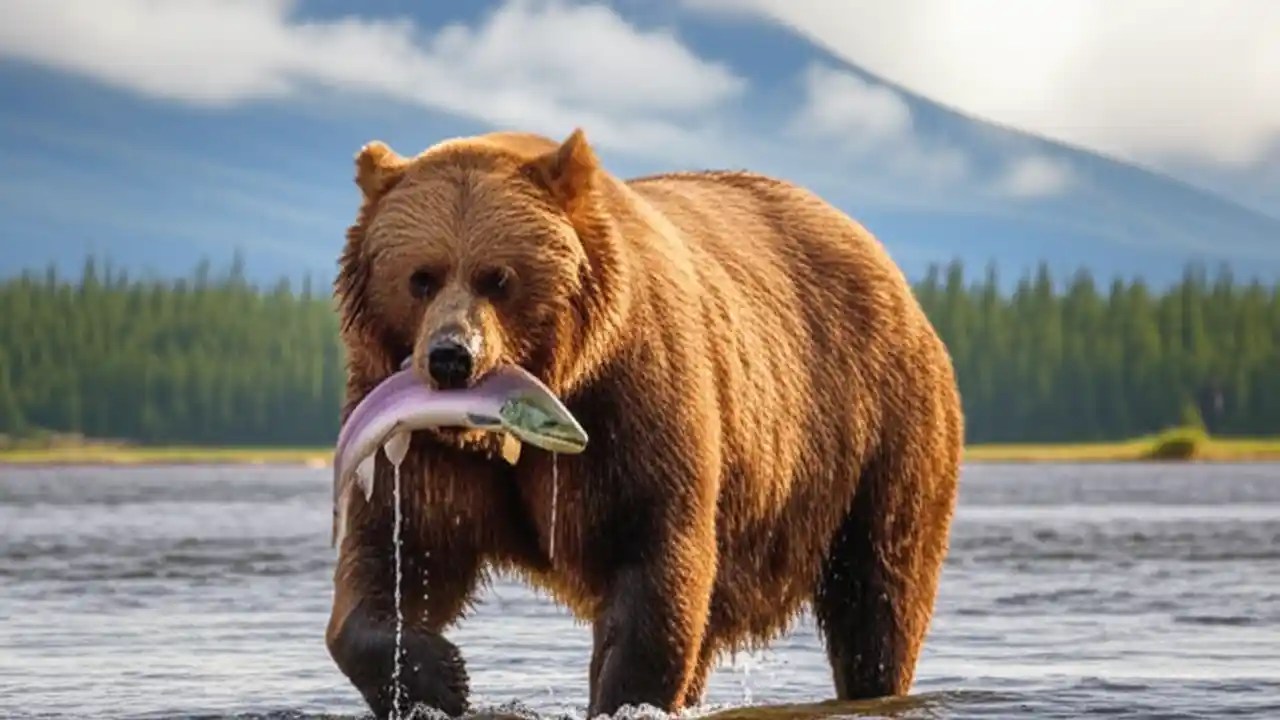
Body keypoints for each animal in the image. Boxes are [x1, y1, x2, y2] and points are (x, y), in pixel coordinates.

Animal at [326, 127, 963, 719]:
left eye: (498, 277)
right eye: (421, 276)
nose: (451, 358)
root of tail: (884, 262)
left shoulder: (633, 404)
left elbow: (653, 561)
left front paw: (624, 695)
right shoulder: (411, 443)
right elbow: (394, 555)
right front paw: (437, 677)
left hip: (876, 431)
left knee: (880, 592)